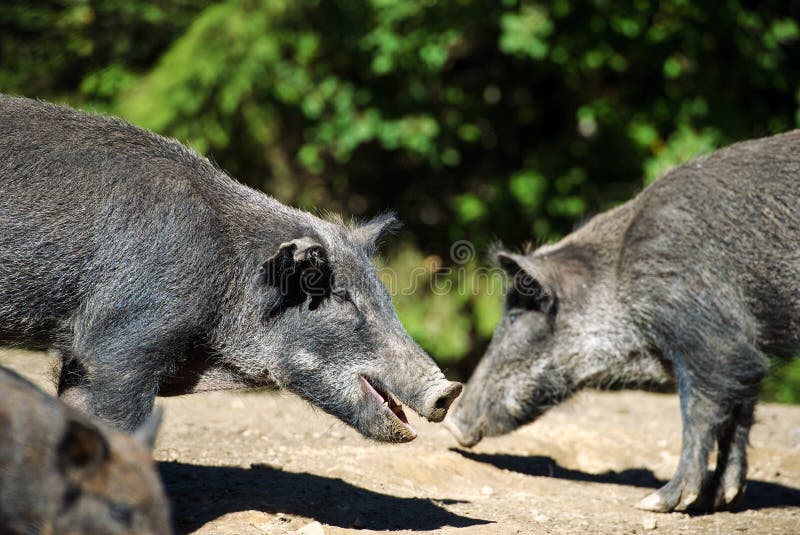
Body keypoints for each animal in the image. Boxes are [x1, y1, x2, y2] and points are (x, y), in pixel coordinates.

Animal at [445, 130, 800, 512]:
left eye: (514, 316)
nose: (452, 423)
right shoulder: (747, 351)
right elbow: (739, 416)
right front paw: (721, 500)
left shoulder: (714, 340)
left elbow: (700, 413)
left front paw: (657, 502)